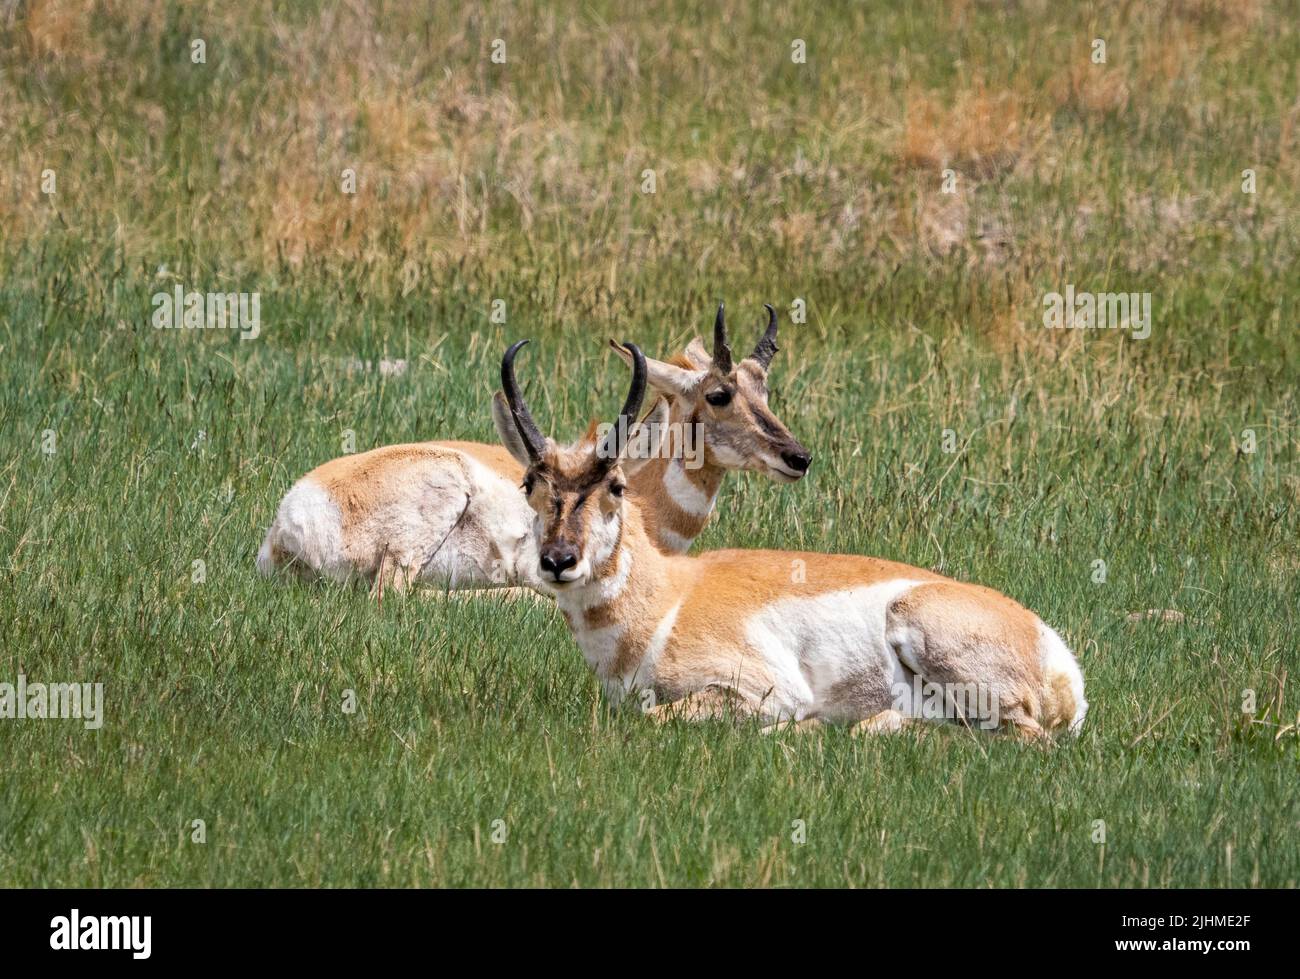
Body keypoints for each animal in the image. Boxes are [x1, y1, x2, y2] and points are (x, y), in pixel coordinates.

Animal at [496, 341, 1088, 739]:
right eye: (530, 483)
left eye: (616, 485)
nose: (557, 561)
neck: (668, 595)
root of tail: (1052, 647)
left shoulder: (766, 692)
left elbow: (658, 716)